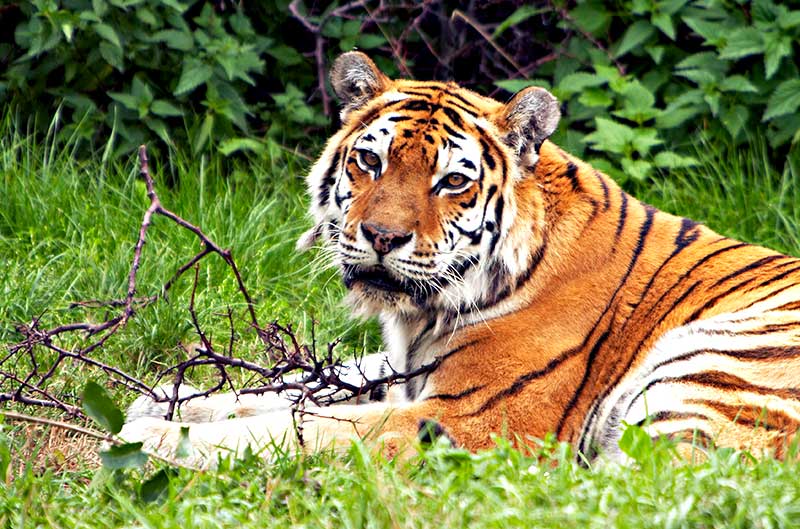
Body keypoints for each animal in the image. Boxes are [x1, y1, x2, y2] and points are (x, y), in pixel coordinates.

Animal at [121, 52, 800, 468]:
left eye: (452, 181)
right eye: (370, 161)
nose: (382, 237)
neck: (424, 312)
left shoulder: (471, 412)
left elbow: (304, 425)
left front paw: (152, 436)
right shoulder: (403, 370)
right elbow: (296, 388)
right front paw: (164, 400)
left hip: (714, 363)